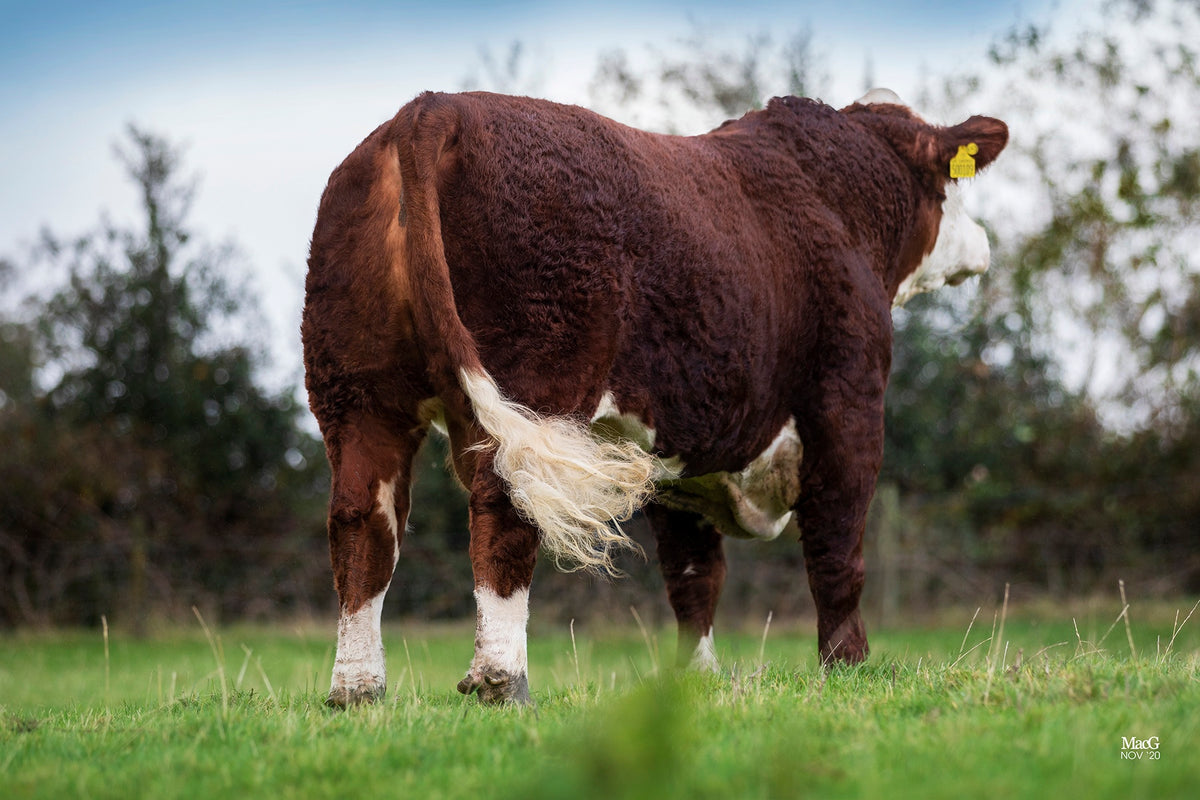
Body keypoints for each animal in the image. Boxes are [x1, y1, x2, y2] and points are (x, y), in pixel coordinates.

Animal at [302, 88, 1007, 706]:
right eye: (947, 188)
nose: (982, 242)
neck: (837, 204)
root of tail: (434, 107)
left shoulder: (682, 444)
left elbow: (693, 574)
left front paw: (696, 679)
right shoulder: (848, 401)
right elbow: (838, 550)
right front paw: (847, 667)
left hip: (356, 397)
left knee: (360, 521)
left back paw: (356, 689)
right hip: (534, 382)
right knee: (503, 507)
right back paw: (502, 681)